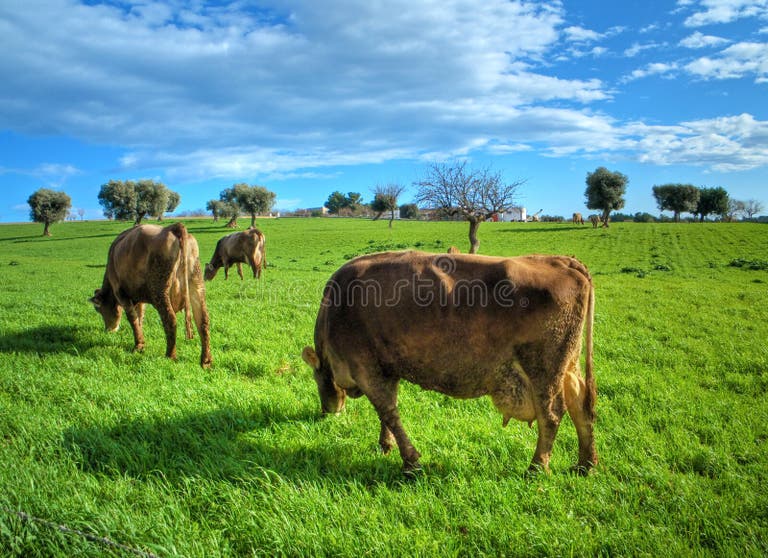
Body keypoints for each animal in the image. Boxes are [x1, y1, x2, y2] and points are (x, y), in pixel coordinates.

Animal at [89, 223, 212, 368]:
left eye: (100, 310)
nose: (109, 330)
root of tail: (172, 228)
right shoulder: (139, 298)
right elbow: (140, 317)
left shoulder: (121, 294)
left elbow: (133, 319)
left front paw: (139, 345)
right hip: (196, 284)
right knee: (203, 320)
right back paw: (206, 361)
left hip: (159, 291)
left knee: (170, 320)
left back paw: (170, 356)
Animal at [302, 251, 597, 475]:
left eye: (316, 379)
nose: (327, 411)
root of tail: (562, 260)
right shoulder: (386, 368)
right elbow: (386, 413)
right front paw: (385, 445)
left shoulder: (366, 368)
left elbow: (388, 412)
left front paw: (410, 461)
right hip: (568, 365)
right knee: (581, 407)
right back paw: (585, 464)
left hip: (543, 369)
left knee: (551, 415)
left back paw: (536, 468)